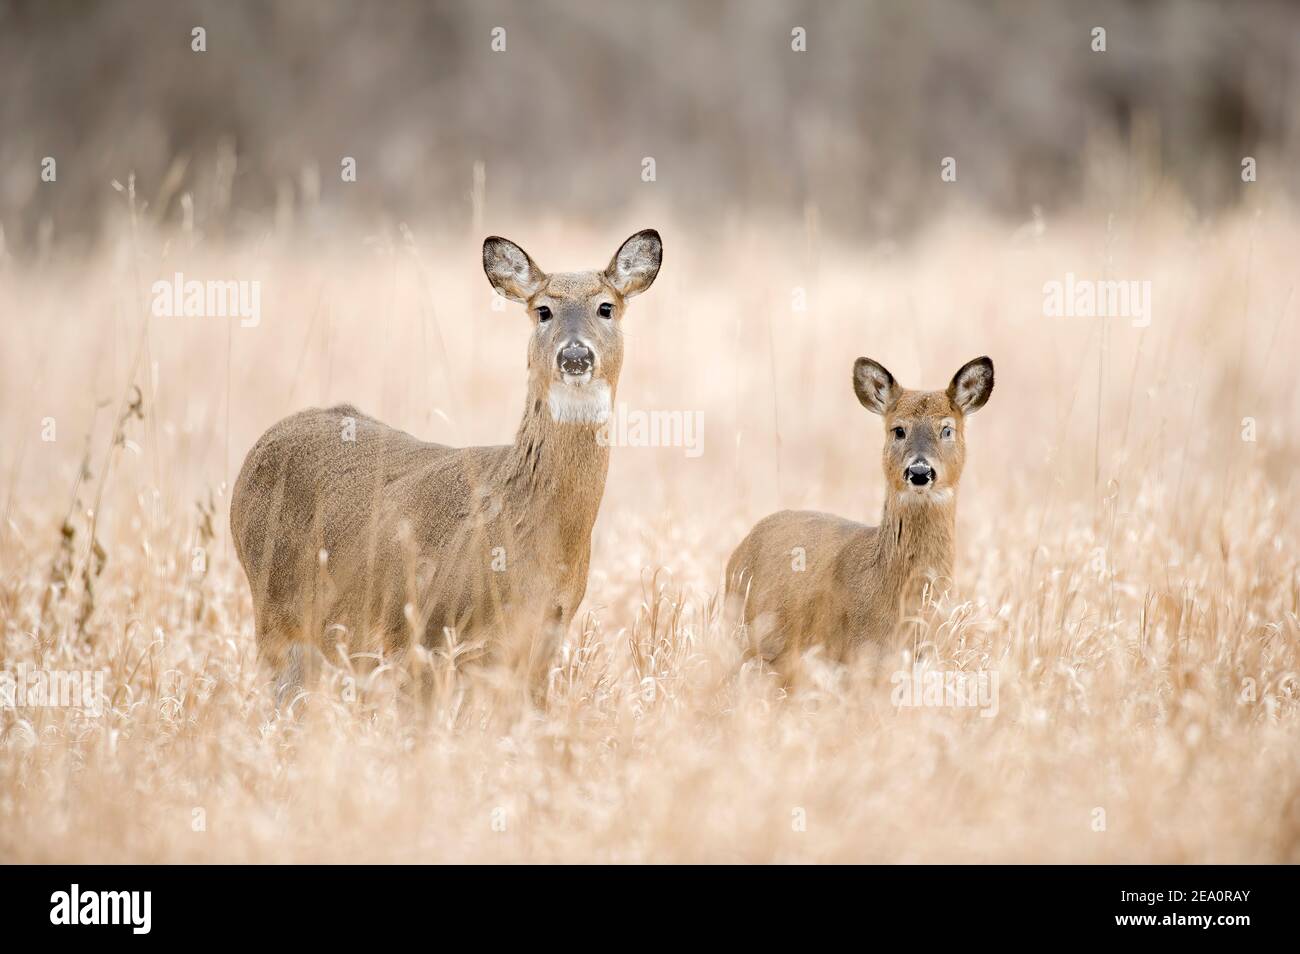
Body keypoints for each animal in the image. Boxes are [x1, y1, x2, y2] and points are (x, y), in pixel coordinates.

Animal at [230, 229, 663, 703]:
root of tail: (258, 449)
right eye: (543, 310)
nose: (575, 355)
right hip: (274, 618)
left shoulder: (540, 647)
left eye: (606, 307)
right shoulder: (421, 637)